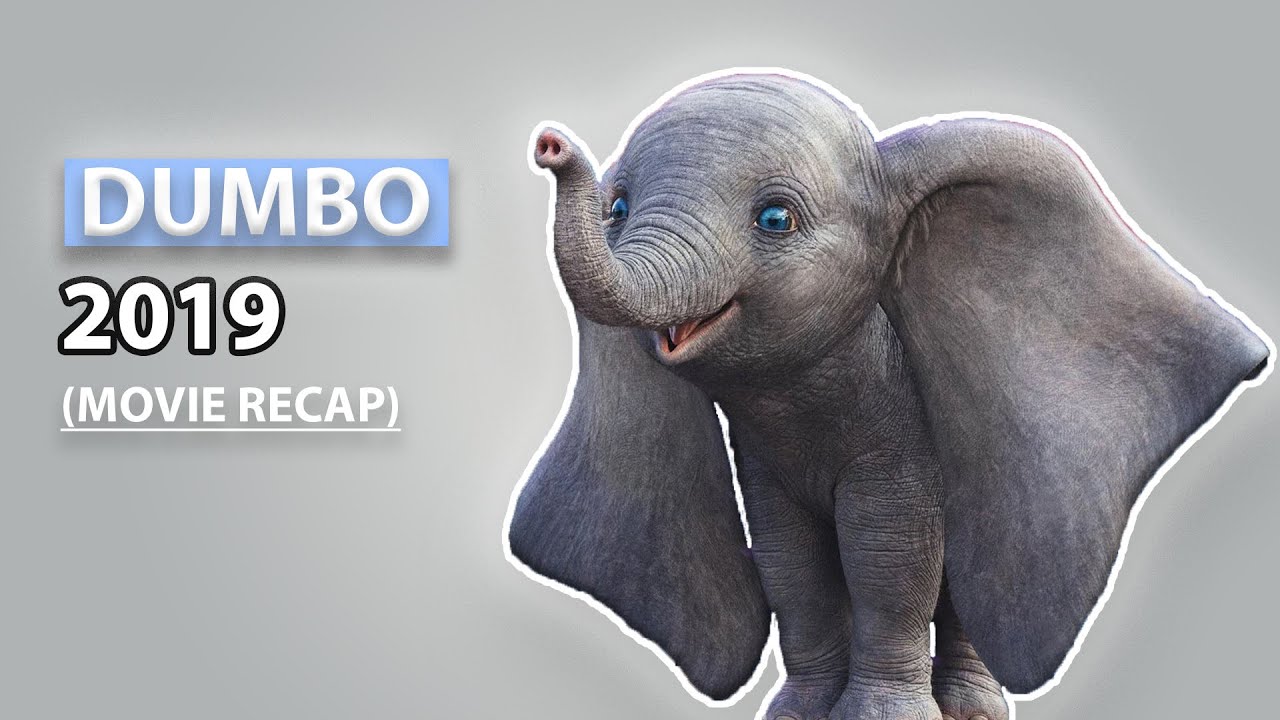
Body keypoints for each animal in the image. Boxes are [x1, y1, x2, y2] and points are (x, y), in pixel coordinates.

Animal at [505, 70, 1270, 720]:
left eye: (775, 220)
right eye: (617, 209)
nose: (550, 144)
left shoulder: (901, 434)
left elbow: (888, 552)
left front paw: (880, 717)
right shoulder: (764, 459)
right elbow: (791, 561)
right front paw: (799, 715)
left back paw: (970, 710)